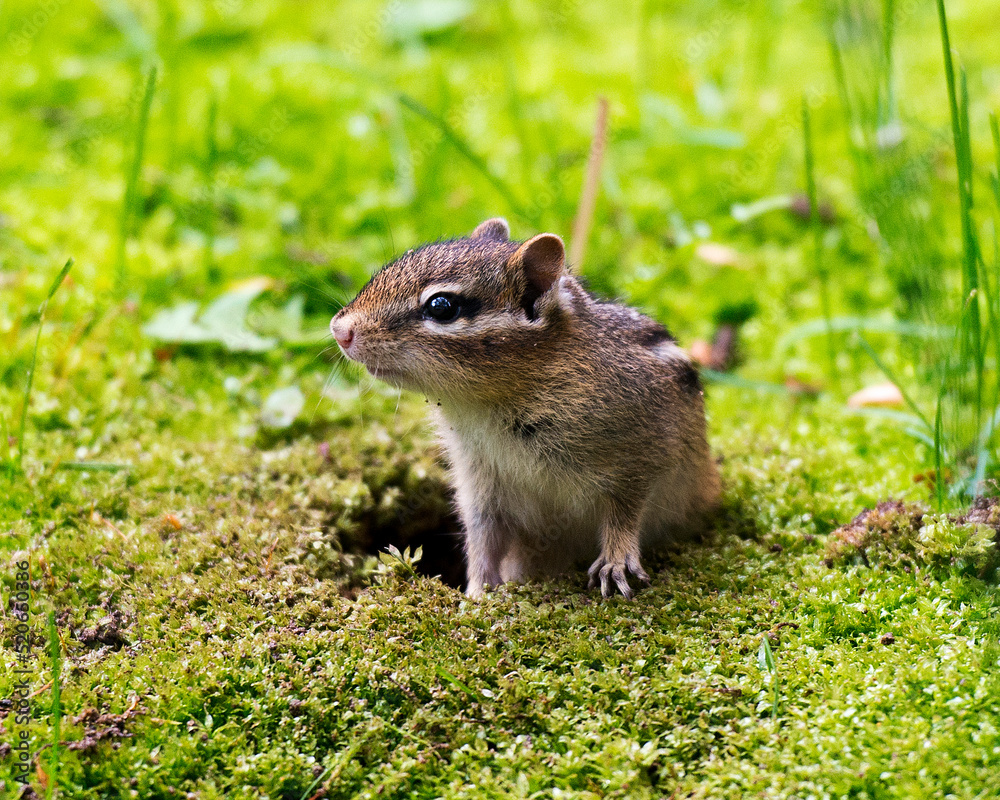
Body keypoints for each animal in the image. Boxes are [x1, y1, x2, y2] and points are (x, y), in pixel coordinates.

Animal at [331, 218, 720, 599]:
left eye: (442, 306)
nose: (339, 330)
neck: (488, 405)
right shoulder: (480, 481)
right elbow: (483, 536)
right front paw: (477, 591)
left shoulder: (642, 453)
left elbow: (625, 511)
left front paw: (615, 561)